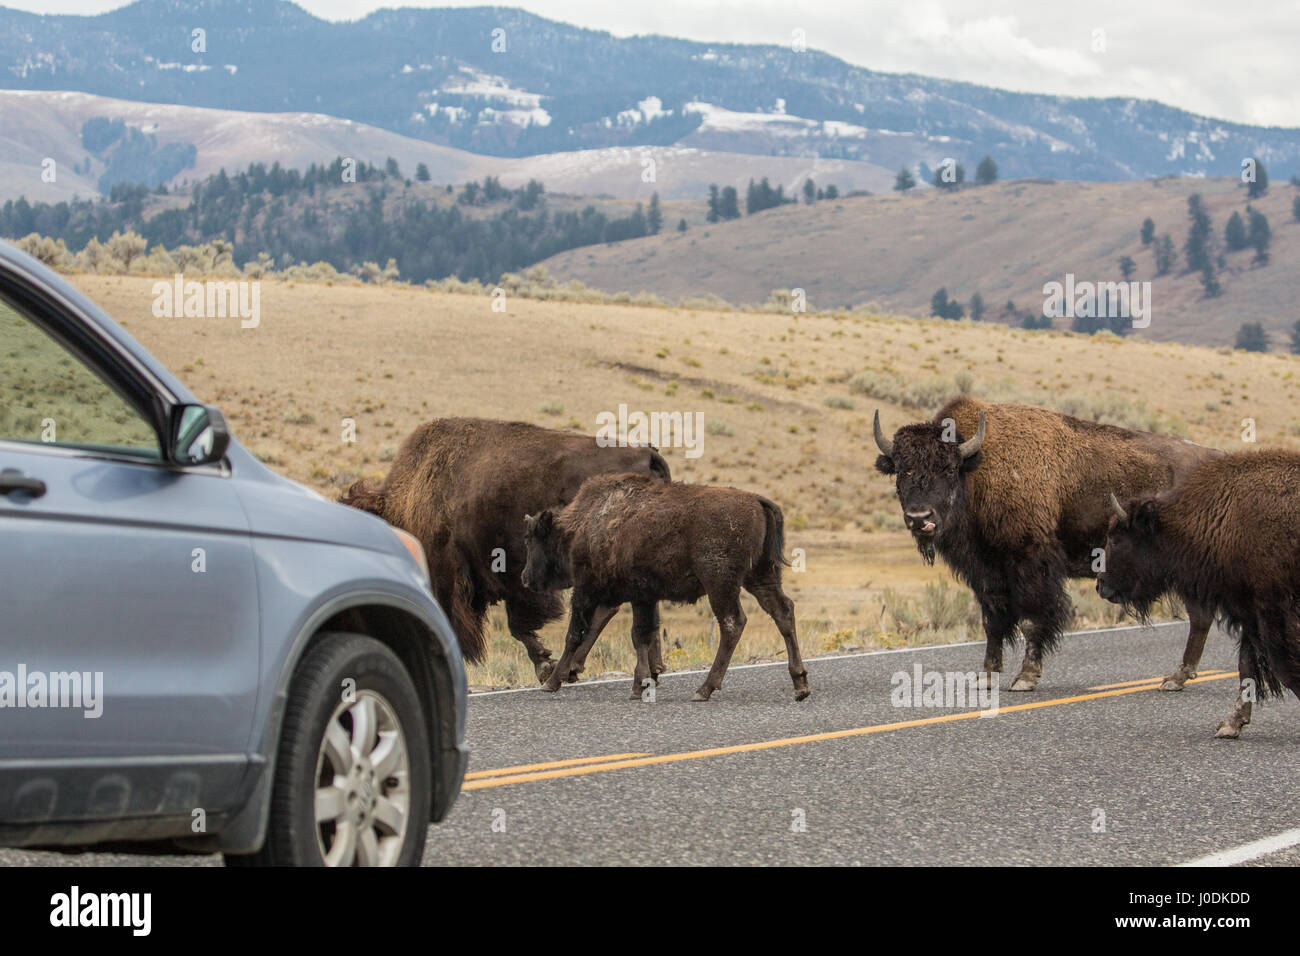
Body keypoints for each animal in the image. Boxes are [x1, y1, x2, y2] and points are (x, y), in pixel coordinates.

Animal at [341, 418, 669, 680]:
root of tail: (647, 454)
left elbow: (515, 626)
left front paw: (544, 666)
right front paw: (546, 665)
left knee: (610, 608)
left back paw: (574, 670)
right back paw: (649, 668)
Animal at [521, 473, 811, 701]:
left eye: (533, 538)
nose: (525, 577)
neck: (582, 524)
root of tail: (757, 501)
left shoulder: (586, 592)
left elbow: (575, 635)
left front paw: (551, 683)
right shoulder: (642, 597)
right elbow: (641, 635)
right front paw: (639, 686)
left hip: (720, 583)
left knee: (732, 623)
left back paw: (704, 689)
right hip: (760, 577)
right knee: (783, 612)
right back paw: (800, 685)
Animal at [873, 397, 1219, 692]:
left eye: (947, 469)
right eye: (902, 469)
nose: (920, 518)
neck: (979, 469)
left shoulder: (1030, 565)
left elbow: (1031, 619)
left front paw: (1025, 677)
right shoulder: (985, 572)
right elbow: (991, 622)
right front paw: (986, 676)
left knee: (1200, 617)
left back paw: (1176, 678)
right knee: (1201, 617)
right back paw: (1179, 677)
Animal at [1100, 449, 1300, 738]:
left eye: (1116, 539)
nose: (1100, 584)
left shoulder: (1269, 612)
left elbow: (1281, 666)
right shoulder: (1248, 613)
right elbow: (1247, 666)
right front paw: (1230, 725)